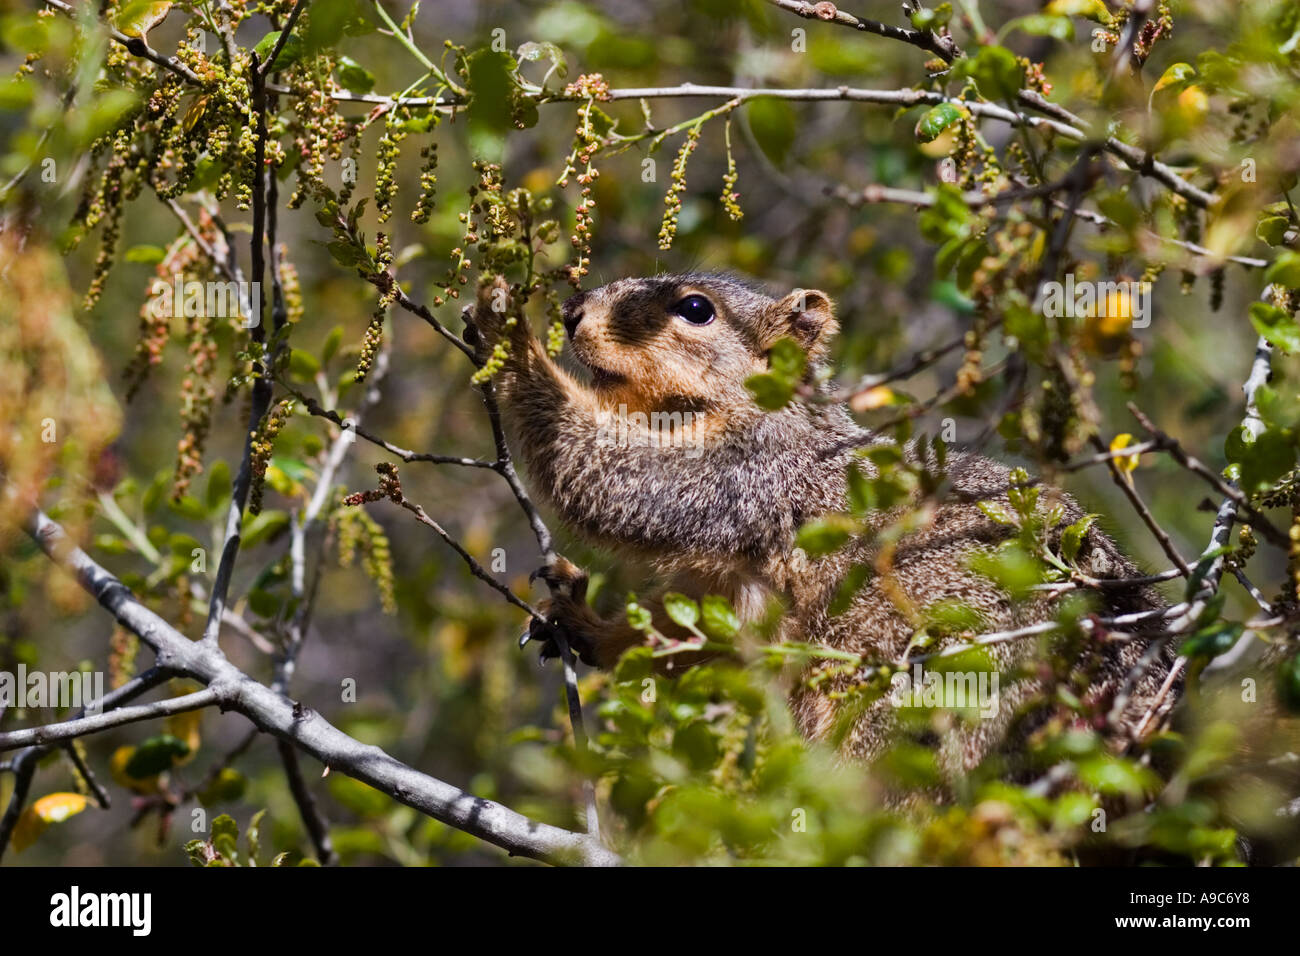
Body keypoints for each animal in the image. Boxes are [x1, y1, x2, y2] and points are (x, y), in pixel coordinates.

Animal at [463, 272, 1181, 772]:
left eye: (695, 309)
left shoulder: (744, 476)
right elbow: (686, 643)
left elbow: (605, 472)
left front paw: (506, 328)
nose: (572, 310)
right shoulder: (714, 588)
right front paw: (580, 620)